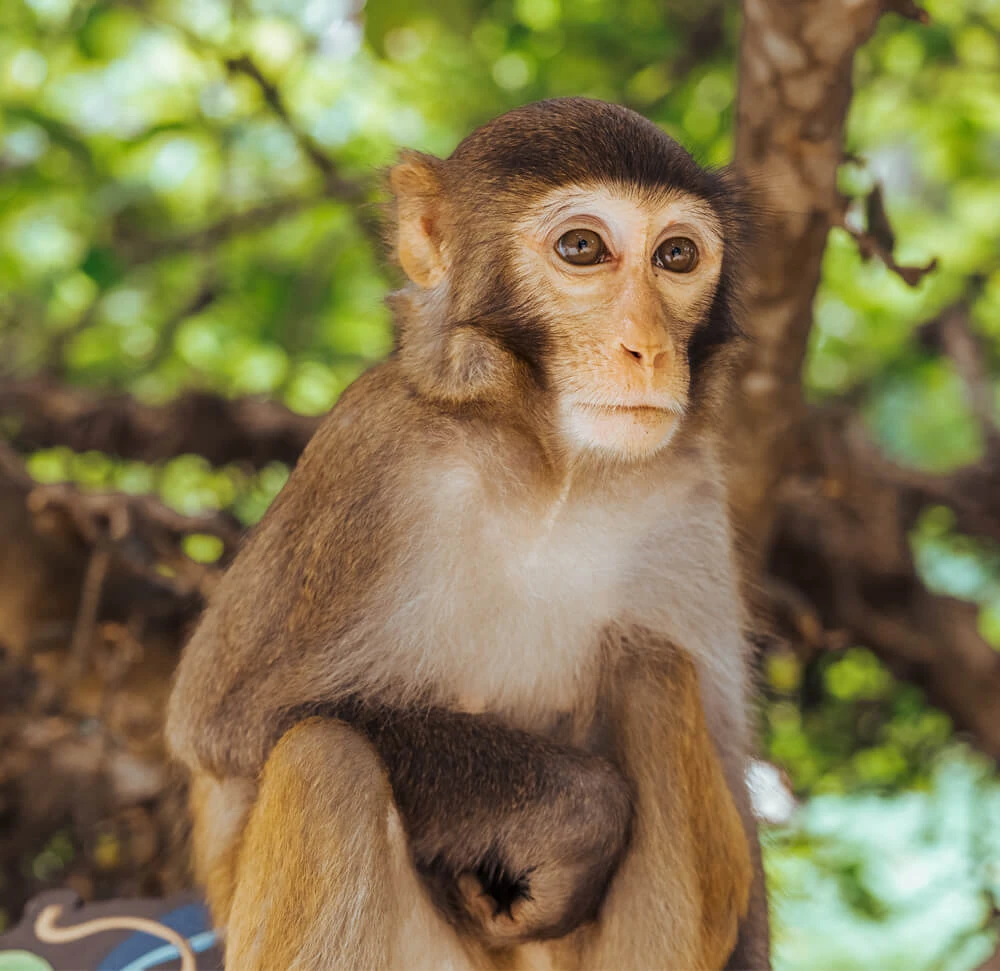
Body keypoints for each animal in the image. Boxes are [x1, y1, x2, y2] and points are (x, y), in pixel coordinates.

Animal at [166, 97, 769, 970]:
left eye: (677, 255)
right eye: (582, 248)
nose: (650, 350)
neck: (552, 467)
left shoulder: (687, 492)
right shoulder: (373, 458)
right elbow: (225, 725)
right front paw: (577, 816)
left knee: (655, 666)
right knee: (325, 758)